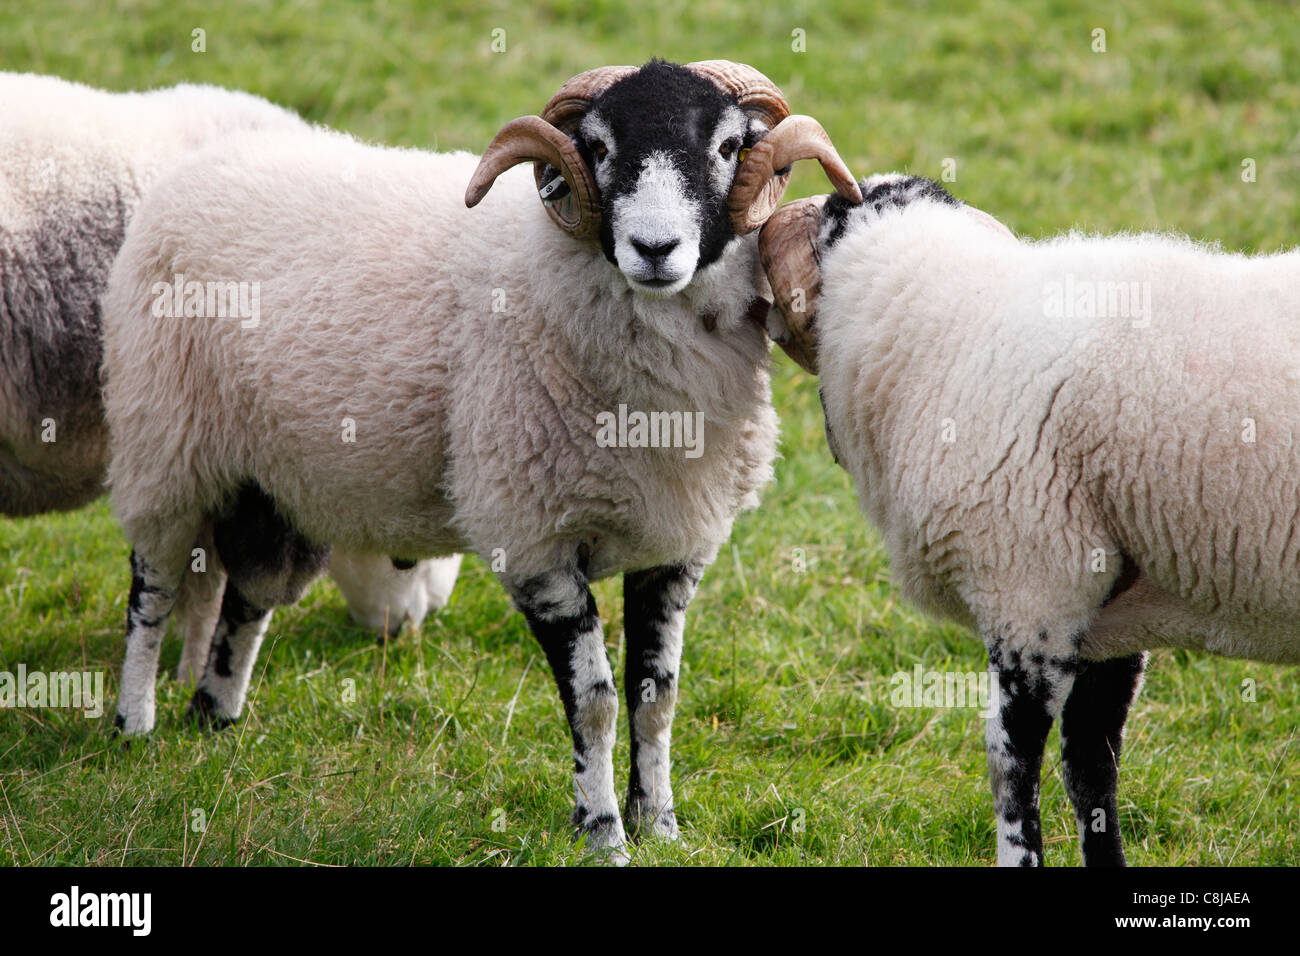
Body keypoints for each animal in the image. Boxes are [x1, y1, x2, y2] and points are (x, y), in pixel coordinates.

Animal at [100, 59, 861, 854]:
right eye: (597, 146)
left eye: (727, 147)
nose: (655, 249)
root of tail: (196, 167)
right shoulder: (534, 538)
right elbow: (596, 703)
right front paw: (604, 836)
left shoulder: (675, 543)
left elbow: (657, 699)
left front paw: (663, 828)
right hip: (164, 444)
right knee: (150, 593)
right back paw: (135, 725)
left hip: (273, 481)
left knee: (248, 596)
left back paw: (215, 717)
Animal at [758, 171, 1300, 866]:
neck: (949, 326)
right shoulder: (1108, 616)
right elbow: (1092, 770)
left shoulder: (1030, 591)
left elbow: (1011, 767)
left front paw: (1019, 855)